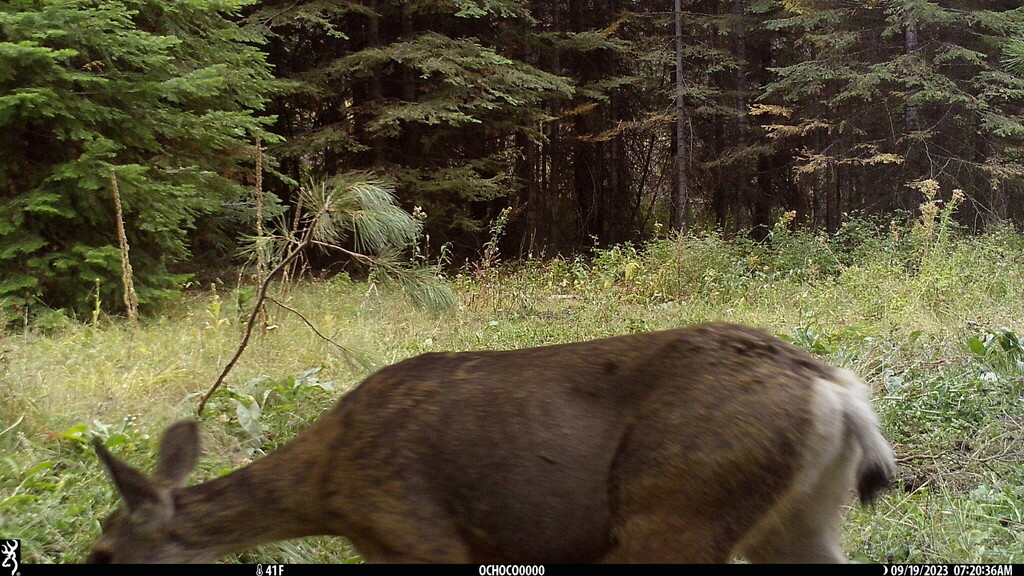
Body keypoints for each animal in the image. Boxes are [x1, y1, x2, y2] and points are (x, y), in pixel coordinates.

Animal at [87, 322, 895, 564]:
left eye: (101, 552)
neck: (331, 485)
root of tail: (836, 389)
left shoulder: (422, 532)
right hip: (796, 517)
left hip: (679, 507)